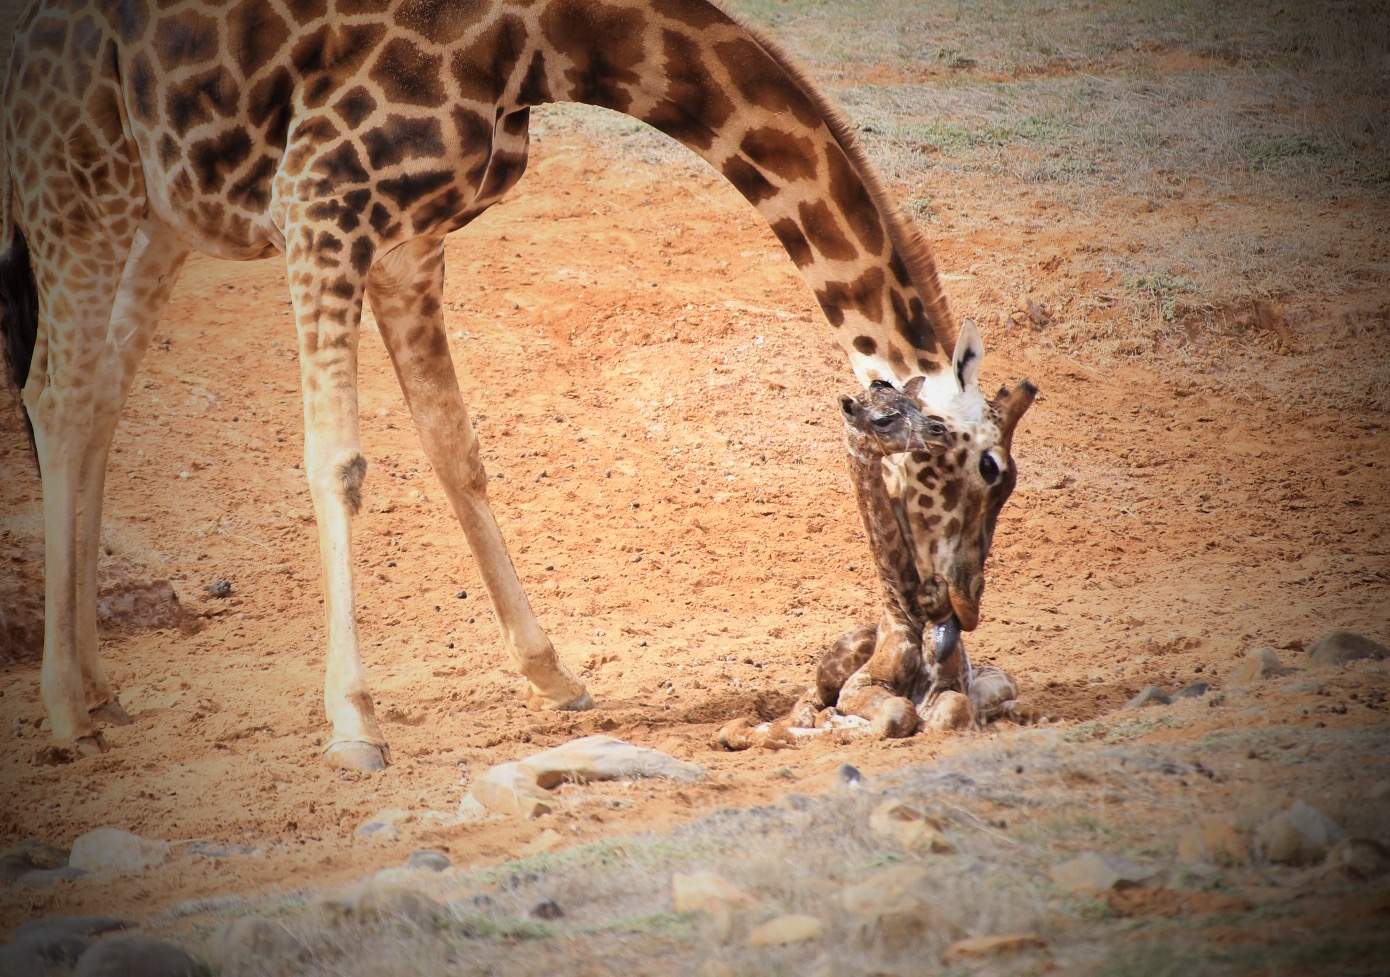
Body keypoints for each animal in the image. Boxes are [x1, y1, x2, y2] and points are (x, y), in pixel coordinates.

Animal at [0, 0, 1037, 770]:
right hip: (77, 179)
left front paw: (552, 673)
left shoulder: (407, 243)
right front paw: (354, 723)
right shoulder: (318, 202)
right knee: (57, 392)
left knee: (96, 396)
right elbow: (338, 462)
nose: (962, 607)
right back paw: (63, 709)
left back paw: (99, 689)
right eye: (989, 470)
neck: (542, 42)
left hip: (155, 208)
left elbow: (456, 447)